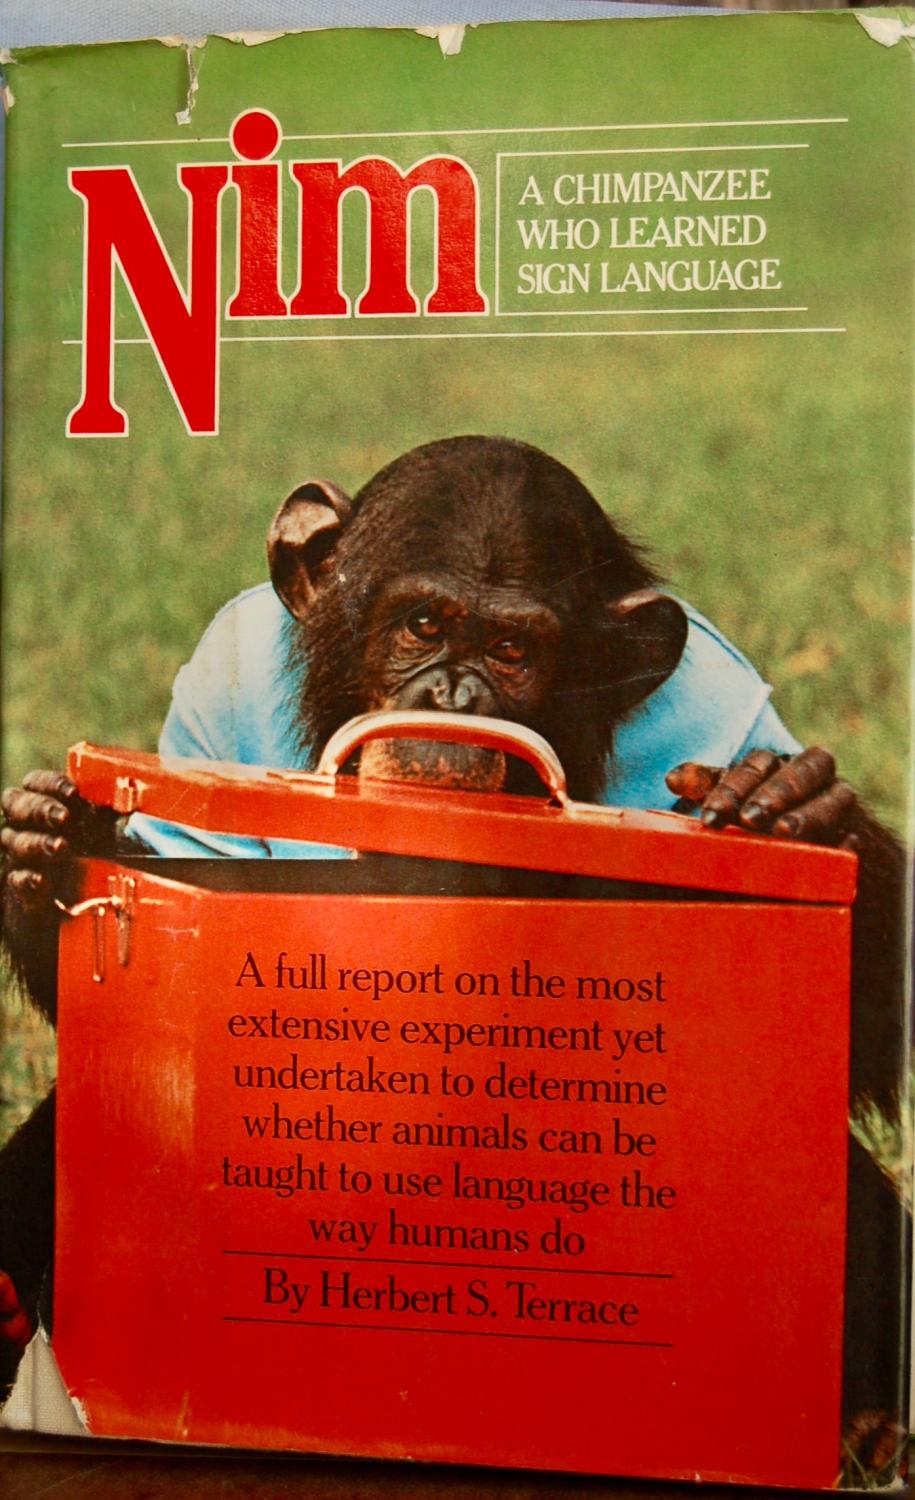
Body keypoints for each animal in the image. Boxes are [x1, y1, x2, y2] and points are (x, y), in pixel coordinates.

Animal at [1, 437, 908, 1471]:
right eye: (423, 624)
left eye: (512, 650)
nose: (450, 697)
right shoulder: (213, 690)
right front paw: (48, 842)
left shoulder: (723, 711)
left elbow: (857, 1046)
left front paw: (795, 803)